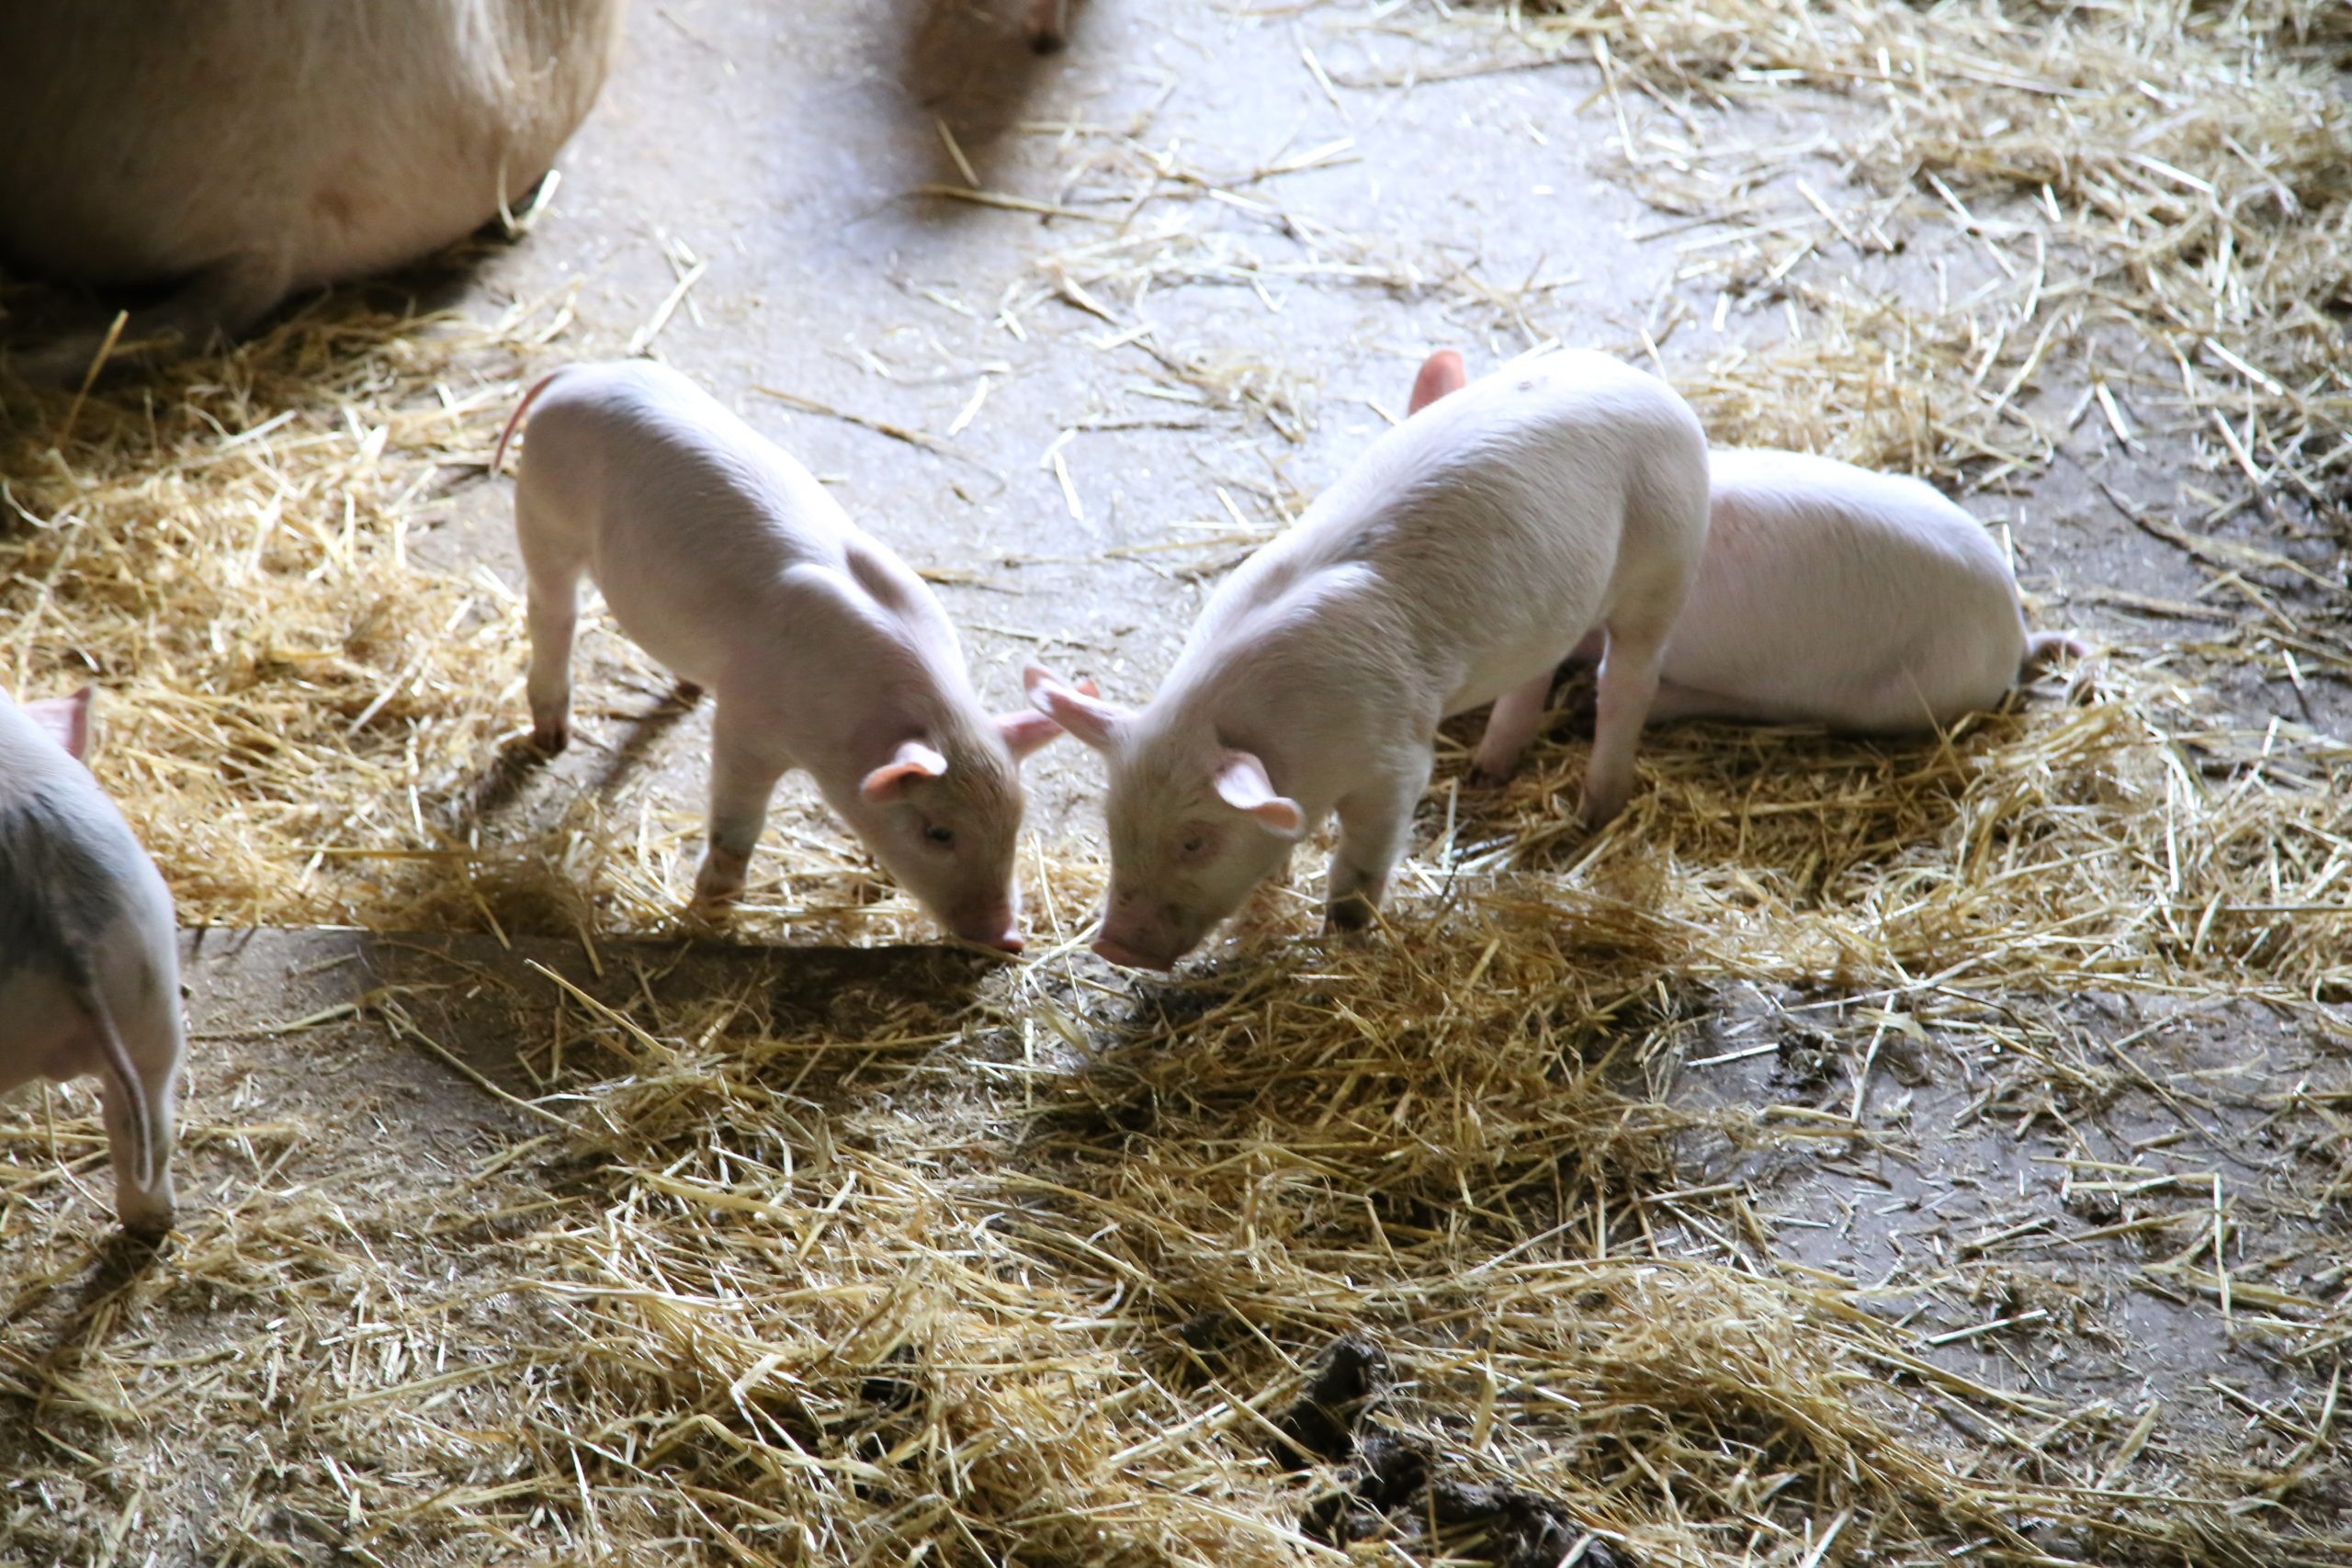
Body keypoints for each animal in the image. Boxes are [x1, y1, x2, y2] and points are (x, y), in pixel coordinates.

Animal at [496, 360, 1075, 952]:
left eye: (1017, 821)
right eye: (938, 832)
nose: (1010, 938)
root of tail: (582, 371)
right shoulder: (747, 725)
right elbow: (736, 826)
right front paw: (708, 914)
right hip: (544, 517)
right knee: (552, 611)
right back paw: (551, 738)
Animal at [1027, 346, 1711, 970]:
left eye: (1195, 841)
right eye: (1114, 824)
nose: (1114, 946)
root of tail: (1650, 384)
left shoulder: (1395, 760)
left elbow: (1360, 864)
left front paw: (1345, 942)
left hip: (1666, 562)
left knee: (1627, 677)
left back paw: (1595, 813)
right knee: (1536, 669)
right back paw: (1487, 773)